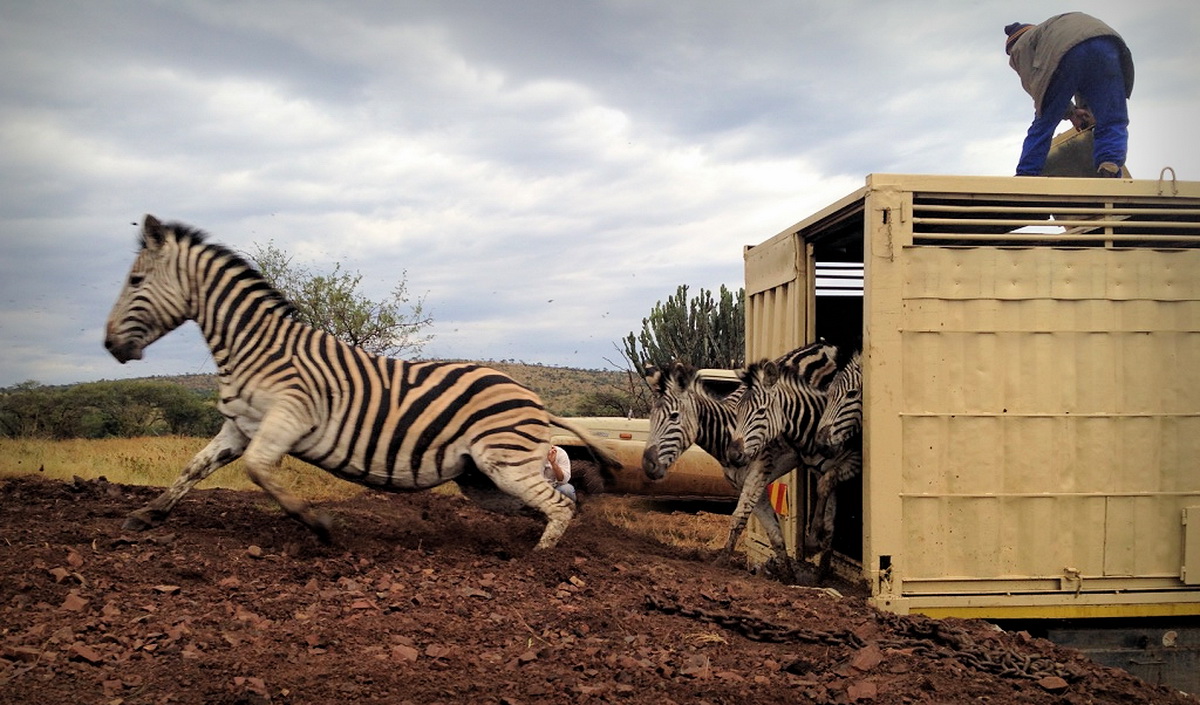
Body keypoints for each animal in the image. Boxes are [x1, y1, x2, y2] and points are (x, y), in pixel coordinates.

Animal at [103, 215, 620, 551]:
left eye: (135, 281)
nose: (110, 345)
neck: (257, 346)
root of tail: (534, 398)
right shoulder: (239, 426)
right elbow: (194, 469)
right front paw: (146, 515)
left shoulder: (288, 417)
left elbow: (258, 472)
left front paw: (320, 526)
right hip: (482, 478)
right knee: (555, 498)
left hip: (504, 465)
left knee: (559, 505)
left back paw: (538, 562)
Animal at [642, 362, 803, 580]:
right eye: (651, 417)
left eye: (674, 416)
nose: (647, 465)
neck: (729, 432)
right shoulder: (749, 481)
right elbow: (773, 531)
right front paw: (788, 577)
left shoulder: (758, 471)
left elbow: (738, 517)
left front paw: (721, 562)